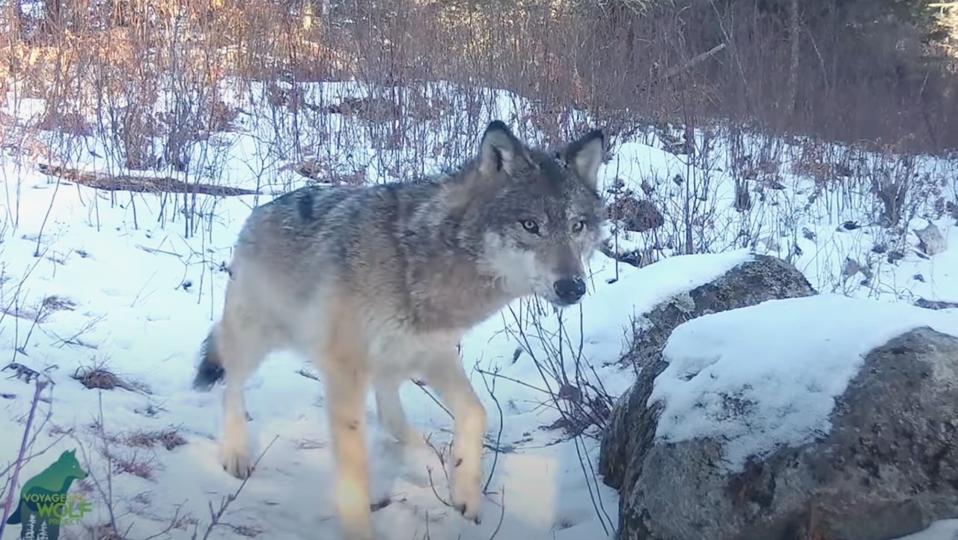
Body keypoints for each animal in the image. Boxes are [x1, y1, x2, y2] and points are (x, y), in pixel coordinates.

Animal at [193, 120, 607, 539]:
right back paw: (235, 453)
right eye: (530, 226)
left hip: (393, 362)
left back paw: (428, 458)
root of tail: (261, 209)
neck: (423, 260)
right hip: (258, 338)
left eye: (577, 225)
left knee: (390, 412)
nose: (572, 287)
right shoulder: (346, 369)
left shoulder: (436, 353)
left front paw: (466, 494)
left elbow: (476, 414)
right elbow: (354, 466)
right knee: (231, 386)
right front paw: (361, 529)